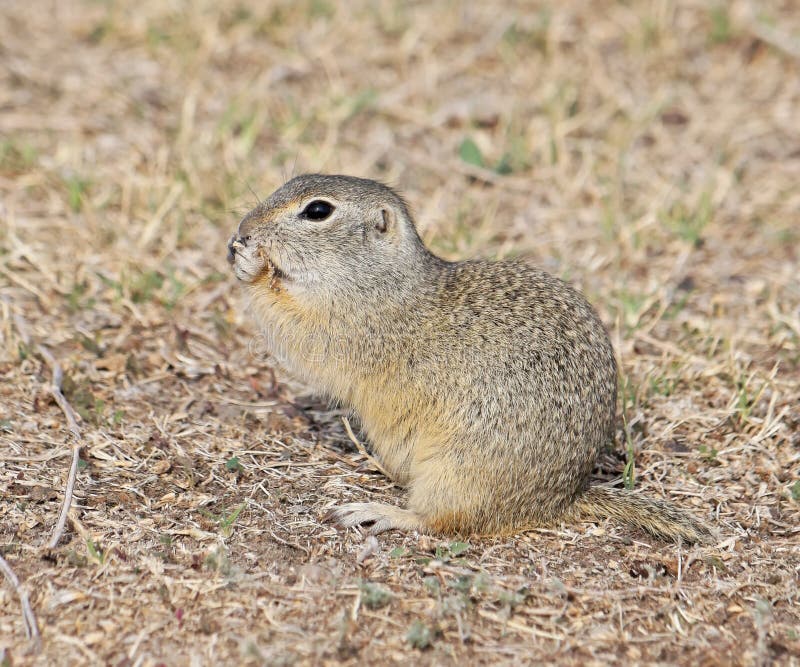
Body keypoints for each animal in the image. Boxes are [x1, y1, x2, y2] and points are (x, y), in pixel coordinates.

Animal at [227, 174, 711, 543]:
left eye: (317, 211)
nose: (243, 230)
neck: (382, 278)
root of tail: (563, 498)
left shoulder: (350, 325)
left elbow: (297, 331)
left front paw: (252, 266)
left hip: (458, 469)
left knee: (443, 521)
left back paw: (378, 511)